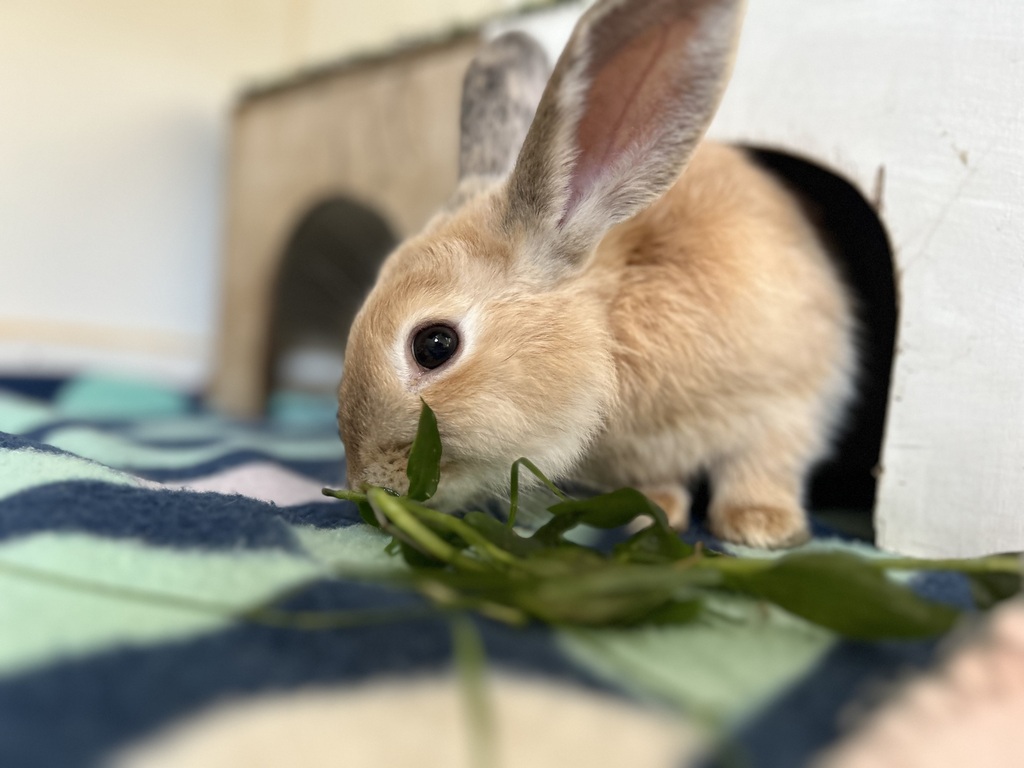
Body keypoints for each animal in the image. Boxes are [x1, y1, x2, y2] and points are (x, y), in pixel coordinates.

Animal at [337, 0, 857, 549]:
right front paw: (654, 514)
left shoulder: (789, 403)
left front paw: (761, 526)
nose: (369, 486)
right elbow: (660, 482)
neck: (609, 320)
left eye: (434, 345)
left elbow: (763, 464)